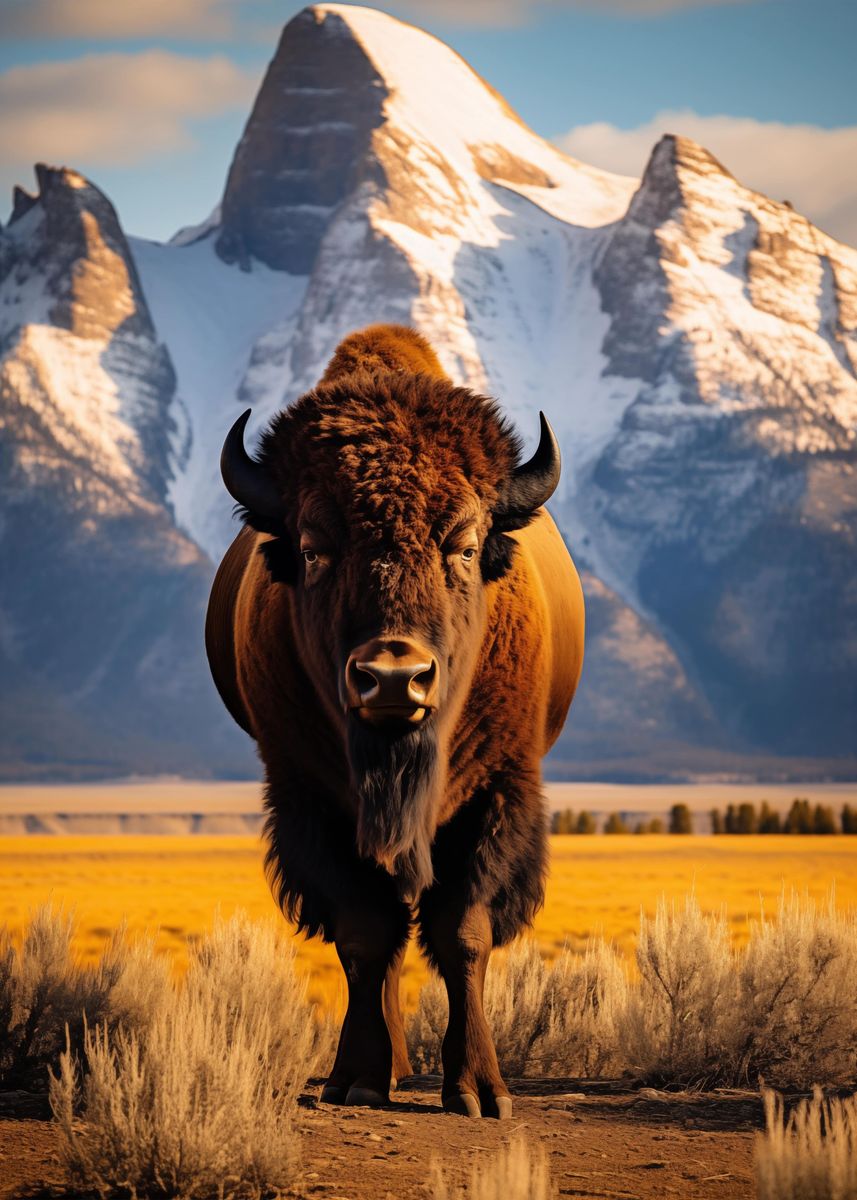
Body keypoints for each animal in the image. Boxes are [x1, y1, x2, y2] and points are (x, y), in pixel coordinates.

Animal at [206, 324, 584, 1118]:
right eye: (313, 548)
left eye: (464, 545)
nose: (392, 677)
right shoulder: (311, 801)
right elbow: (364, 933)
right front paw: (353, 1079)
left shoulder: (495, 793)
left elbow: (462, 931)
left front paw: (480, 1092)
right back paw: (392, 1066)